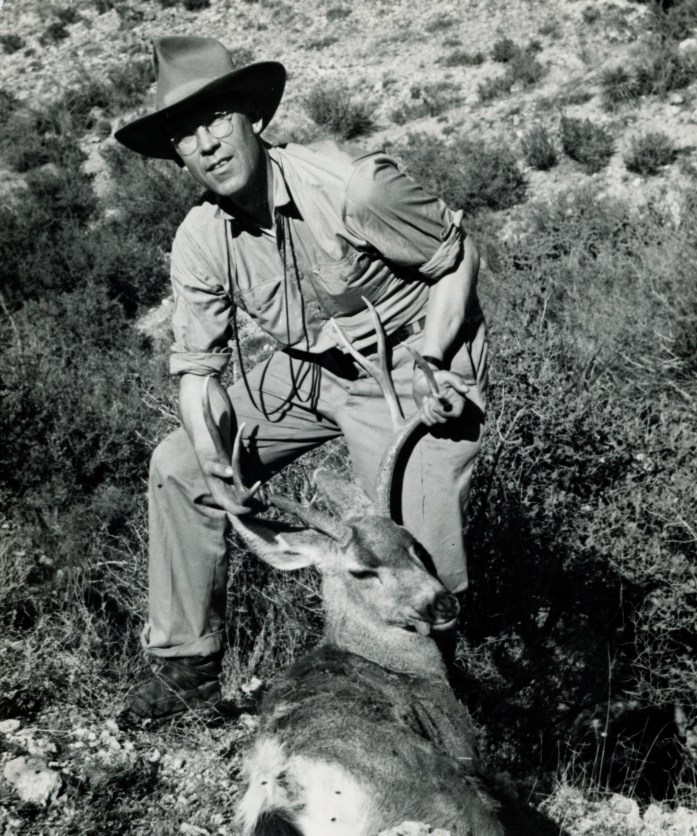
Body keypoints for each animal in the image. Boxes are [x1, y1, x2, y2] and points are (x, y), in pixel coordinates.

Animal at [202, 302, 508, 836]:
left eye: (412, 545)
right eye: (362, 571)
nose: (442, 602)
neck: (395, 663)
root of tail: (284, 789)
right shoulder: (462, 743)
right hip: (443, 796)